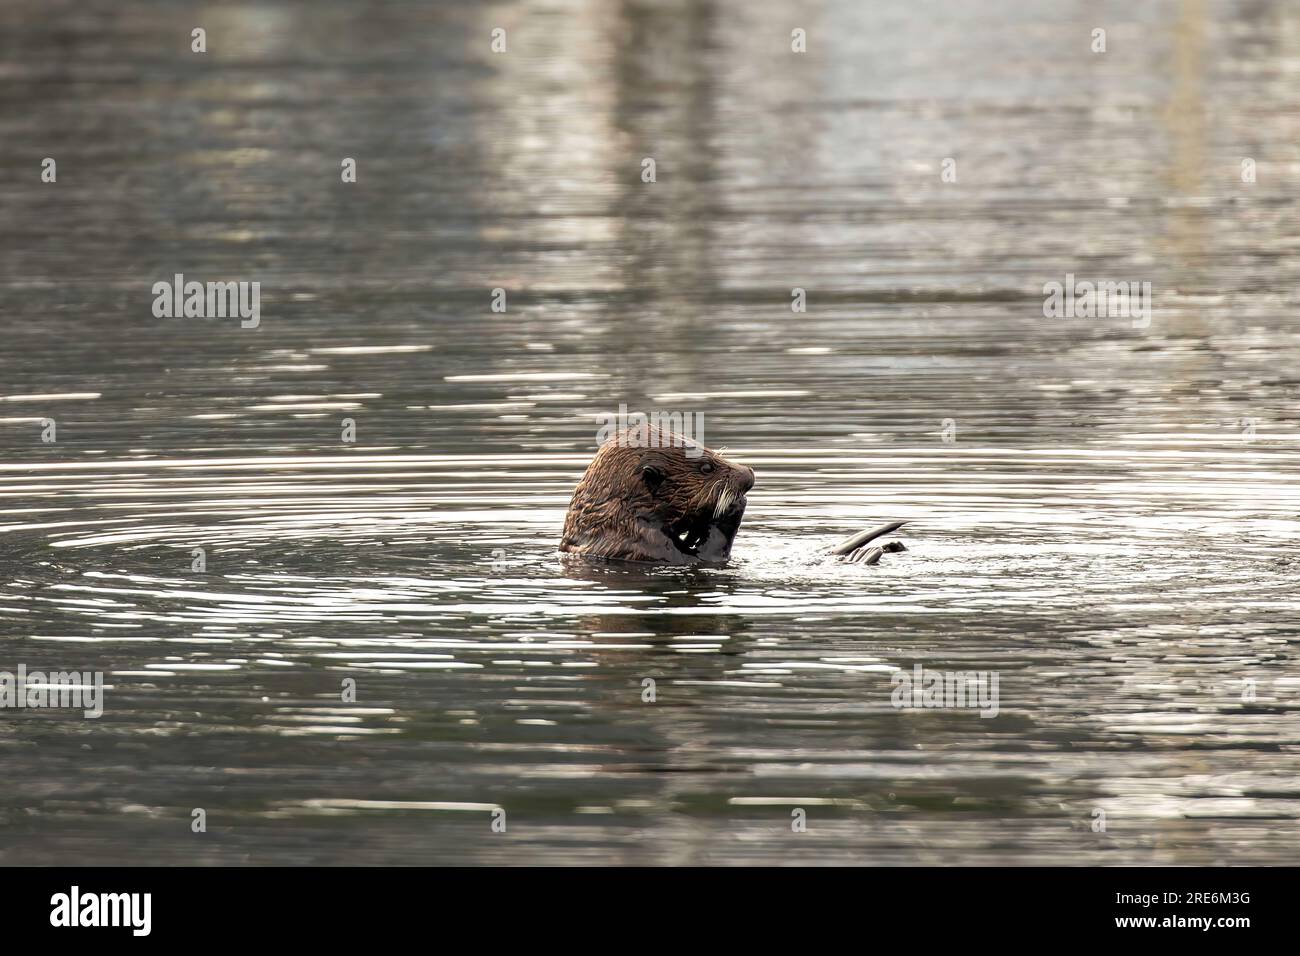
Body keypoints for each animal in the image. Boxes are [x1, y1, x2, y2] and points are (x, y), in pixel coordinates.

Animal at [559, 425, 907, 565]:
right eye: (707, 467)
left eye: (712, 452)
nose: (749, 474)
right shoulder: (644, 547)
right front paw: (732, 505)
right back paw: (870, 553)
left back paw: (891, 545)